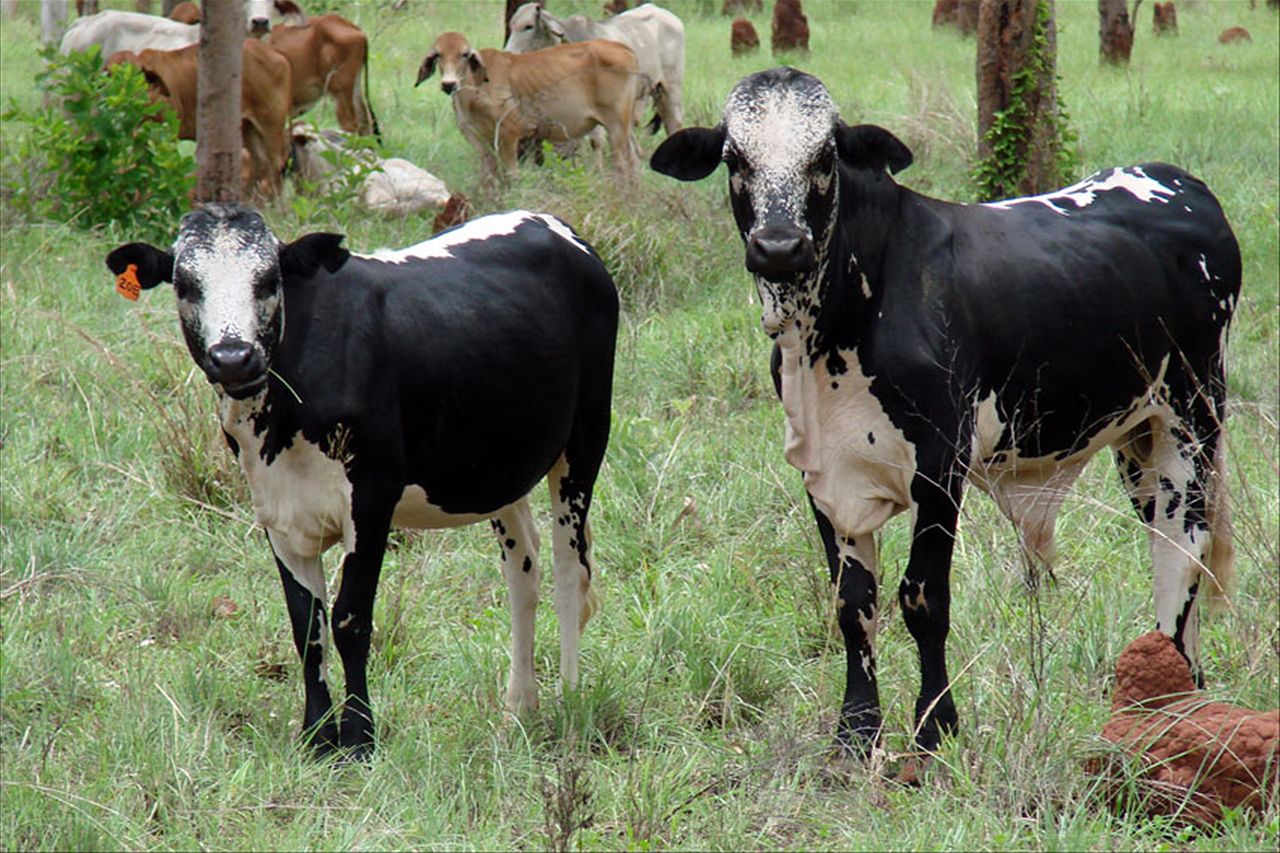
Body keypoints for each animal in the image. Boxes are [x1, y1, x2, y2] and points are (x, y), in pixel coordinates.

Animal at [105, 204, 619, 759]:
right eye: (185, 285)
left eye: (268, 280)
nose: (233, 357)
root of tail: (553, 226)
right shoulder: (275, 509)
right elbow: (306, 625)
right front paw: (316, 734)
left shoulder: (372, 498)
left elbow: (350, 619)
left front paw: (358, 737)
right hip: (500, 469)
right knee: (523, 570)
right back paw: (519, 709)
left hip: (585, 439)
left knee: (571, 571)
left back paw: (569, 702)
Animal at [107, 38, 292, 200]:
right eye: (109, 74)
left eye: (137, 73)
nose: (124, 93)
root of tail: (275, 52)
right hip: (248, 127)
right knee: (260, 164)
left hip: (271, 124)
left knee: (275, 165)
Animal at [416, 32, 640, 184]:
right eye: (438, 55)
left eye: (464, 54)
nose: (449, 84)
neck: (474, 90)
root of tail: (624, 48)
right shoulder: (478, 138)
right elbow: (490, 178)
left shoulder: (509, 132)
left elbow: (511, 175)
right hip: (623, 126)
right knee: (635, 159)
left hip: (616, 124)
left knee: (623, 163)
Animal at [651, 68, 1240, 758]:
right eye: (733, 159)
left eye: (824, 157)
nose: (778, 247)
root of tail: (1180, 183)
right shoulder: (821, 474)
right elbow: (853, 603)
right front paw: (856, 732)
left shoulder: (940, 464)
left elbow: (923, 598)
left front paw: (935, 726)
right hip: (1137, 437)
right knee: (1165, 540)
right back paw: (1181, 692)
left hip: (1192, 416)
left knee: (1182, 549)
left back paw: (1167, 717)